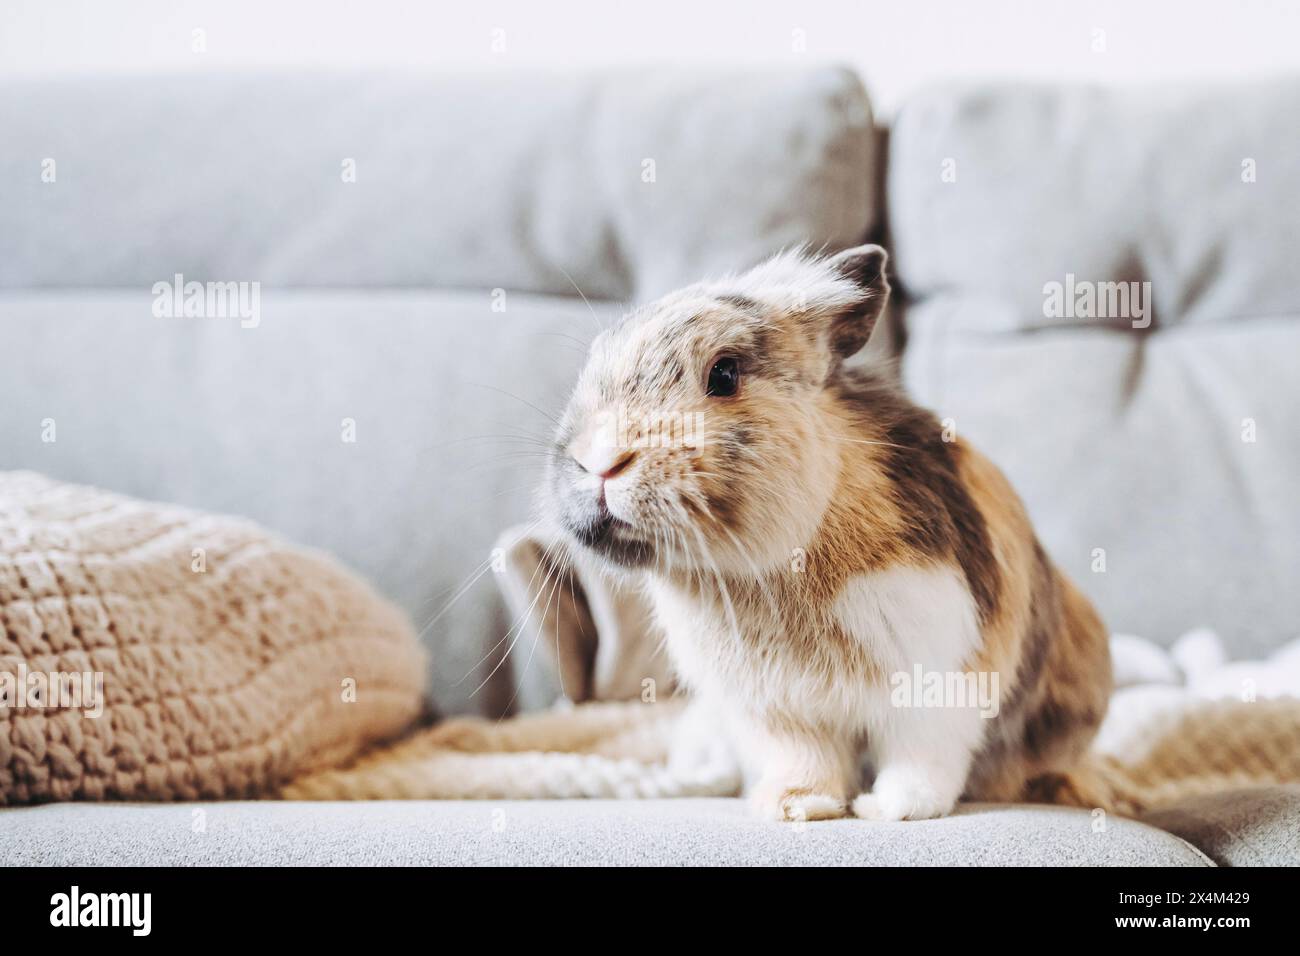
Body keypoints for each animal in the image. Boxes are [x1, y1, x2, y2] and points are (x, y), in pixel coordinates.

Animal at [543, 244, 1112, 821]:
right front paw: (794, 805)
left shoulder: (939, 680)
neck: (774, 565)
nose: (600, 461)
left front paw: (893, 808)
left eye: (725, 374)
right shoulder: (777, 712)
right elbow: (805, 759)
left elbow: (922, 759)